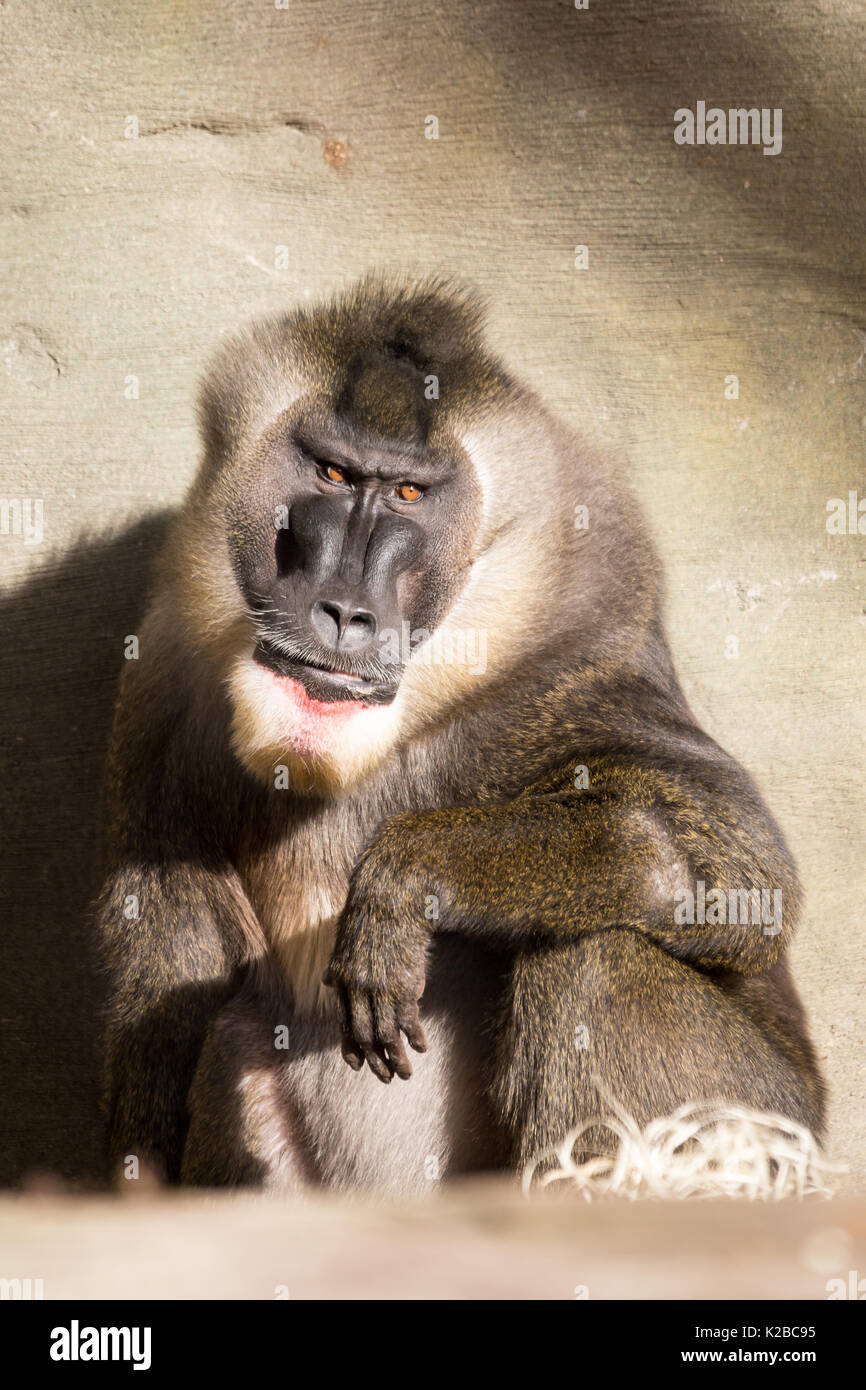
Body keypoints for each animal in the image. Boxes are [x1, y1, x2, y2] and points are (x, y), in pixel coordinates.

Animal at [96, 275, 825, 1193]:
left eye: (409, 495)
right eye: (332, 472)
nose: (345, 610)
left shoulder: (578, 672)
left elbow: (732, 874)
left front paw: (405, 882)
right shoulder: (162, 688)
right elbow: (163, 994)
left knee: (597, 956)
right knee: (230, 1030)